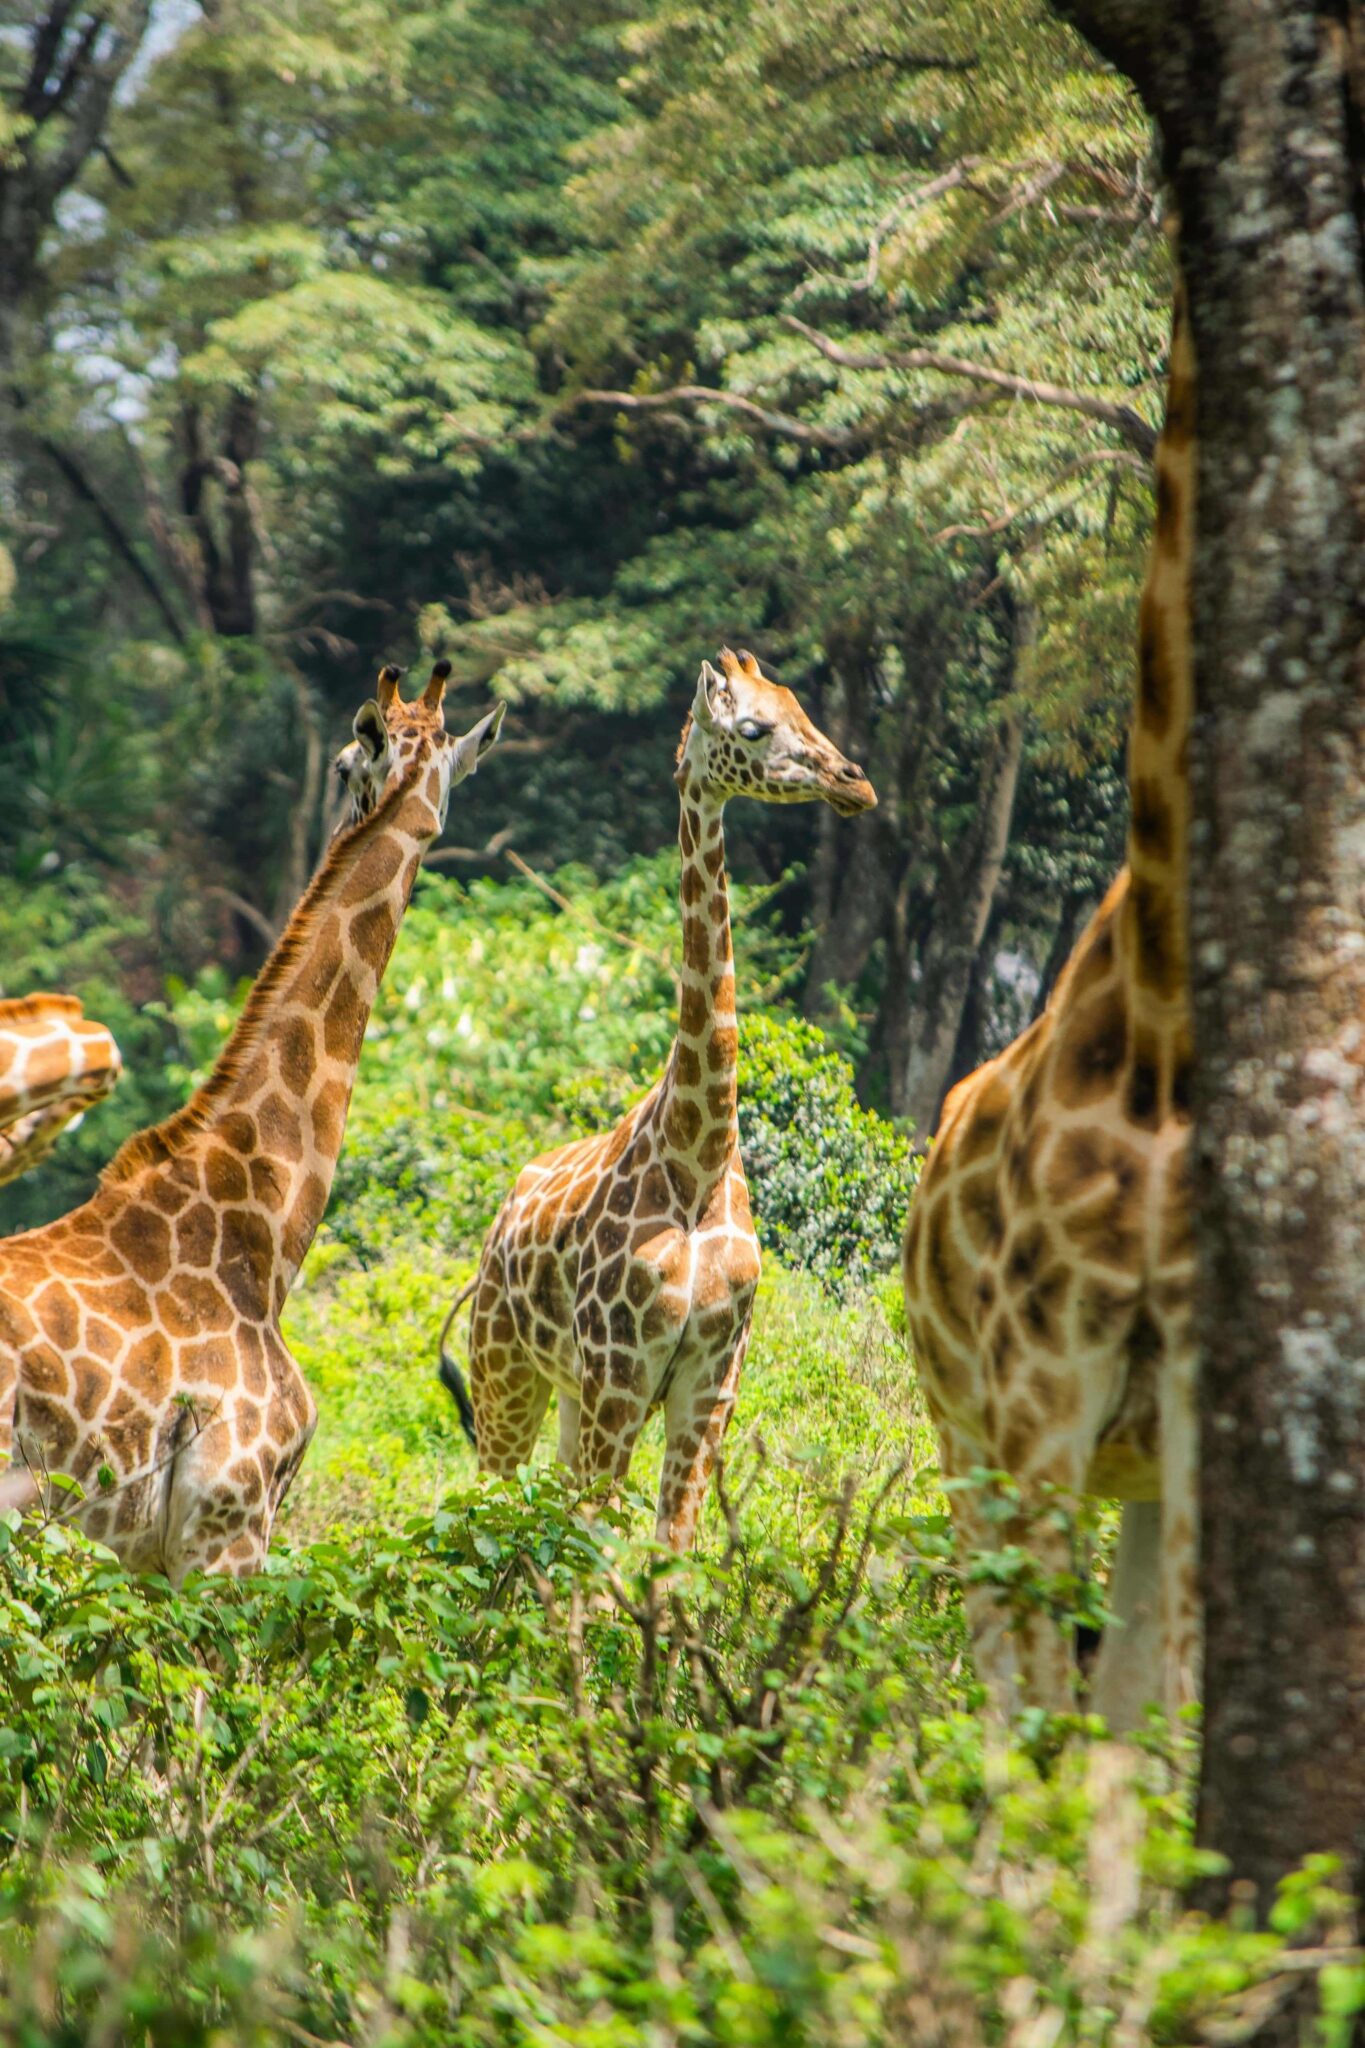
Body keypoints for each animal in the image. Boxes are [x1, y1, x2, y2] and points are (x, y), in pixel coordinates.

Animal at [440, 648, 876, 1550]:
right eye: (754, 727)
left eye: (802, 710)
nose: (856, 783)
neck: (698, 1155)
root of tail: (496, 1227)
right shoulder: (622, 1372)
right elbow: (596, 1554)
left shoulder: (710, 1382)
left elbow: (668, 1551)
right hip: (507, 1373)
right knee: (492, 1509)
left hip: (569, 1396)